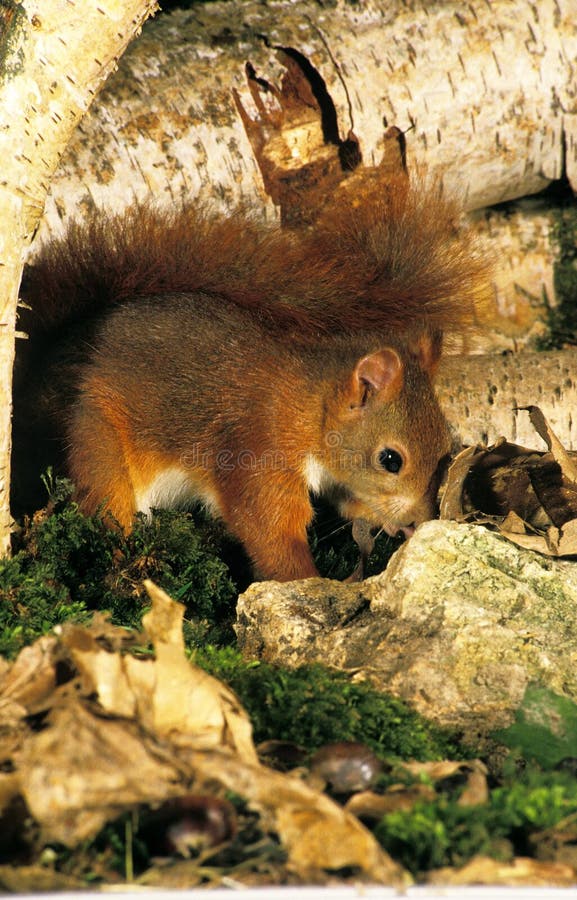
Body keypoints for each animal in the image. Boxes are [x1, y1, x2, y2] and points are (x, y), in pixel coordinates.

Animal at [13, 184, 488, 581]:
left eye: (444, 446)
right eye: (391, 459)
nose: (422, 518)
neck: (307, 408)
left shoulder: (336, 476)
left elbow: (351, 500)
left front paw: (393, 526)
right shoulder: (258, 450)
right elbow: (269, 529)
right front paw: (310, 584)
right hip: (95, 440)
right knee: (106, 507)